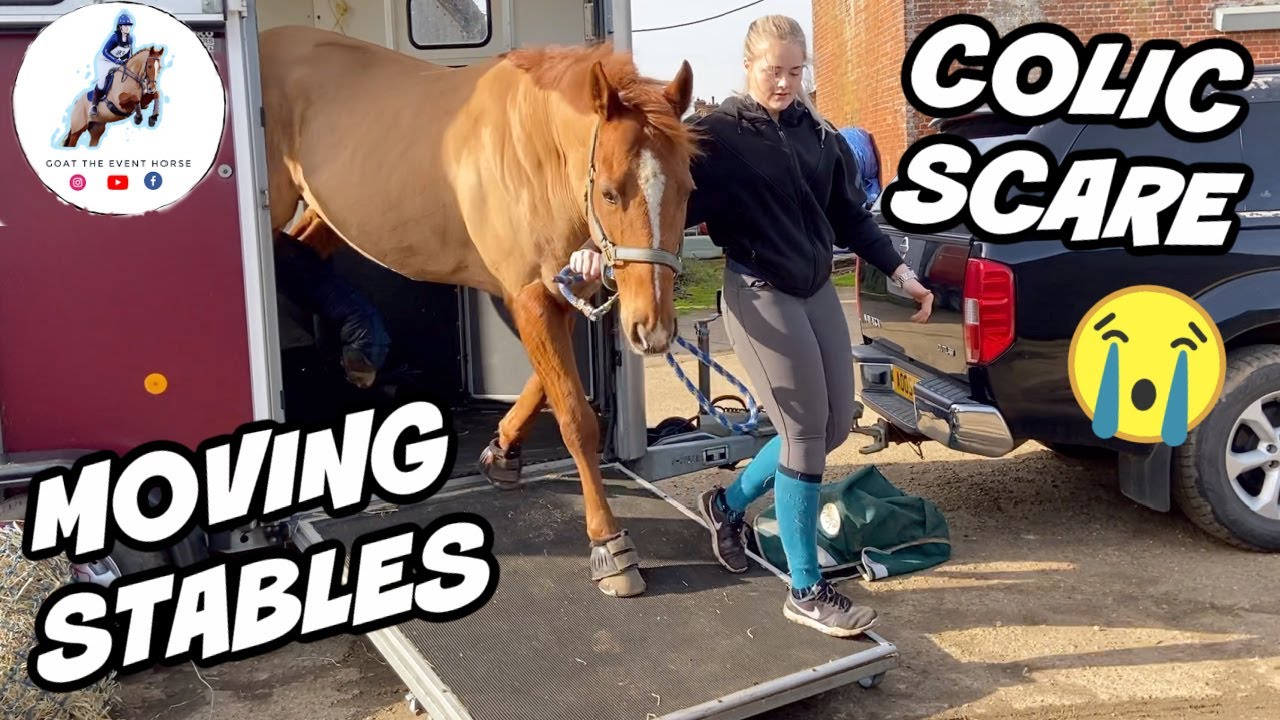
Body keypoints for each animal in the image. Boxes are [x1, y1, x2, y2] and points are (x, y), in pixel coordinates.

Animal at [258, 25, 698, 599]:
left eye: (687, 189)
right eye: (609, 192)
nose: (653, 330)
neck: (535, 147)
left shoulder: (557, 290)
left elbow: (543, 386)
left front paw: (501, 453)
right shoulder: (529, 296)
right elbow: (575, 417)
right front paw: (610, 546)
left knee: (305, 250)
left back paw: (361, 350)